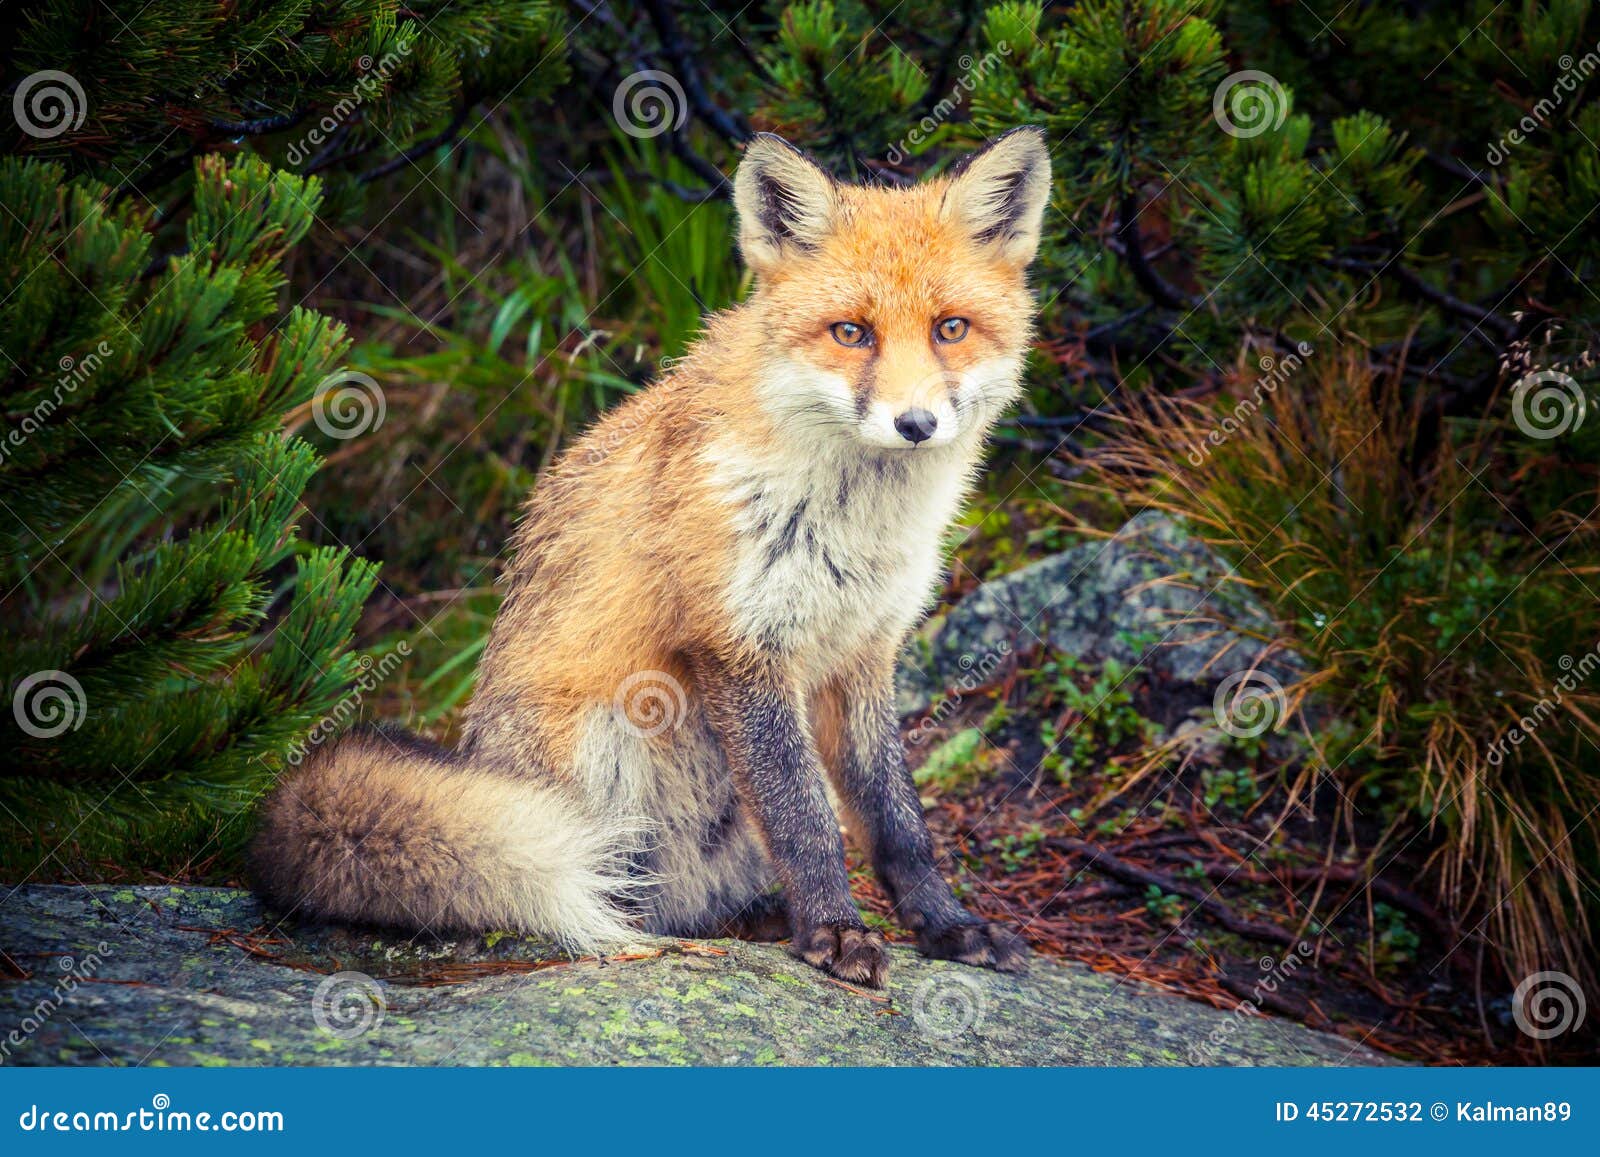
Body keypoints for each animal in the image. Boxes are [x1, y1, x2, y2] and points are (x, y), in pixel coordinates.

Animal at [250, 127, 1052, 987]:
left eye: (950, 328)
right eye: (852, 333)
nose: (915, 423)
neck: (856, 523)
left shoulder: (864, 651)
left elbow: (897, 820)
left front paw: (948, 925)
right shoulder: (739, 646)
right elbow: (803, 816)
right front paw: (835, 930)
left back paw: (751, 915)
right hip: (610, 735)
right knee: (622, 881)